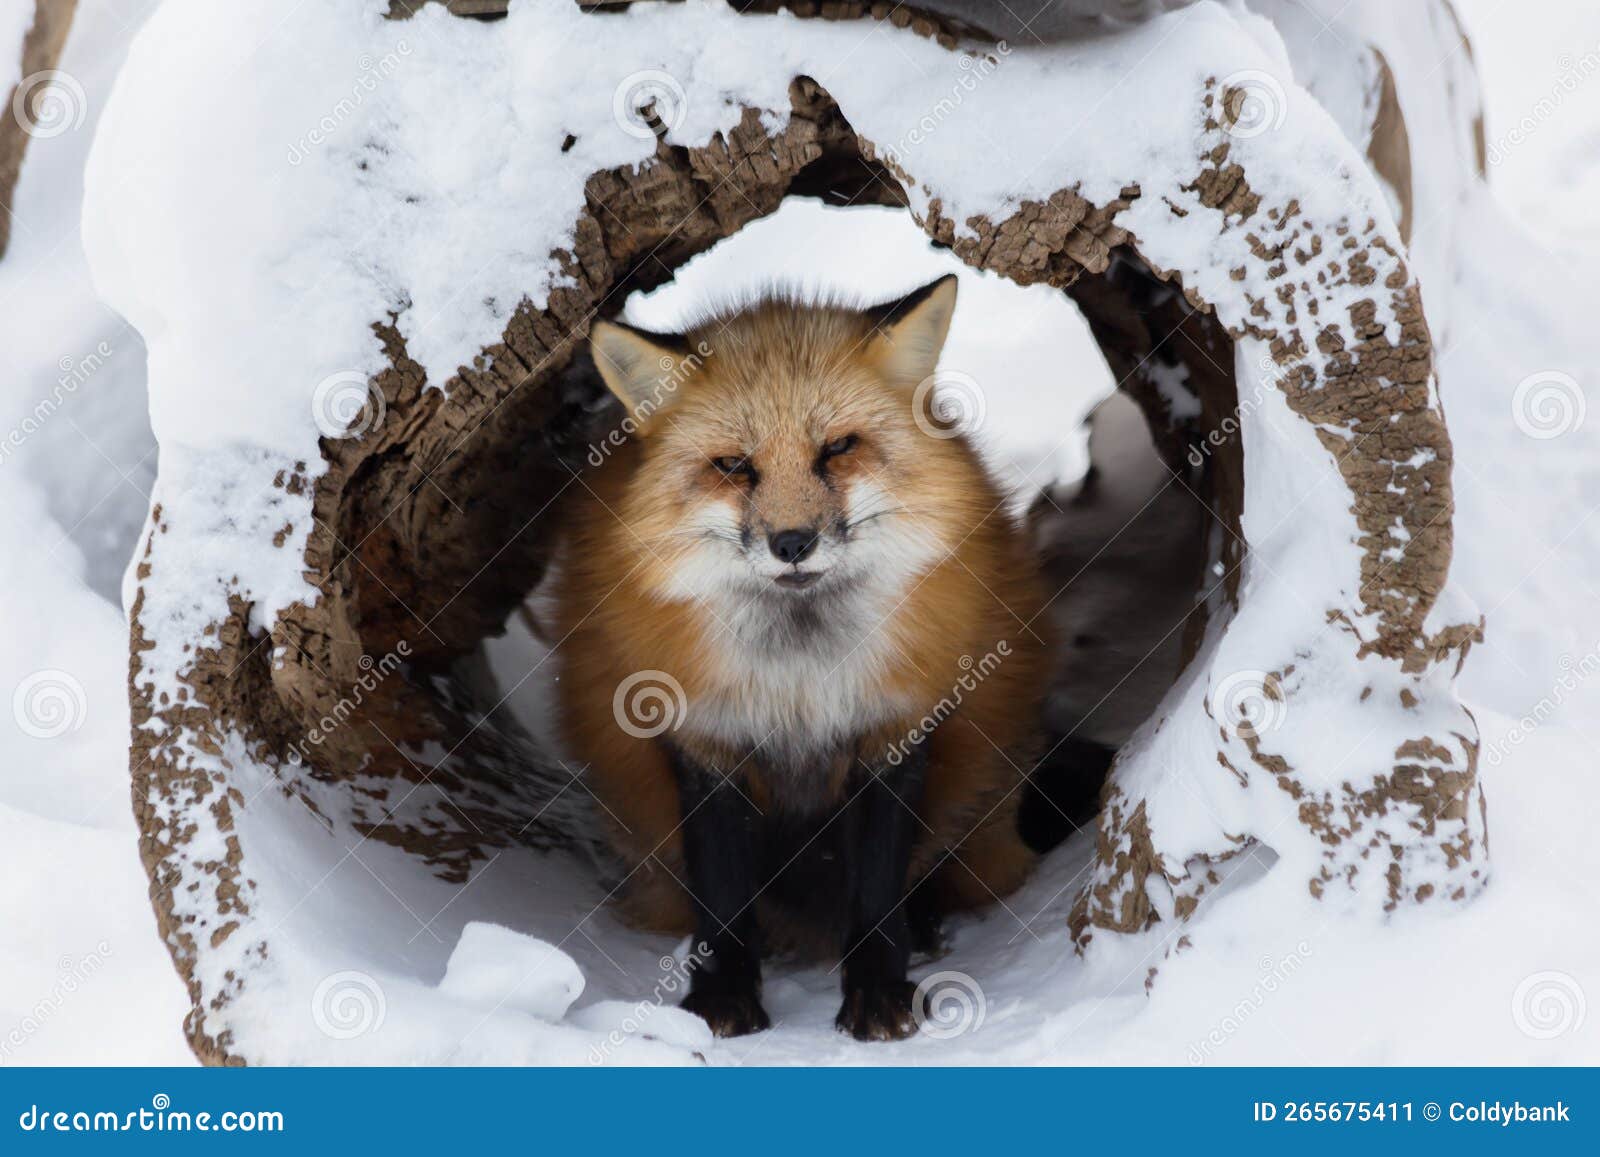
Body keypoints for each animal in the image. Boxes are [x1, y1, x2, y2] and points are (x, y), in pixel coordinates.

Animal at [551, 275, 1051, 1041]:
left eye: (838, 448)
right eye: (733, 465)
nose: (792, 542)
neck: (801, 680)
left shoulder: (894, 729)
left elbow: (876, 891)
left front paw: (878, 994)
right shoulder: (706, 741)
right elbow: (723, 899)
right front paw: (722, 999)